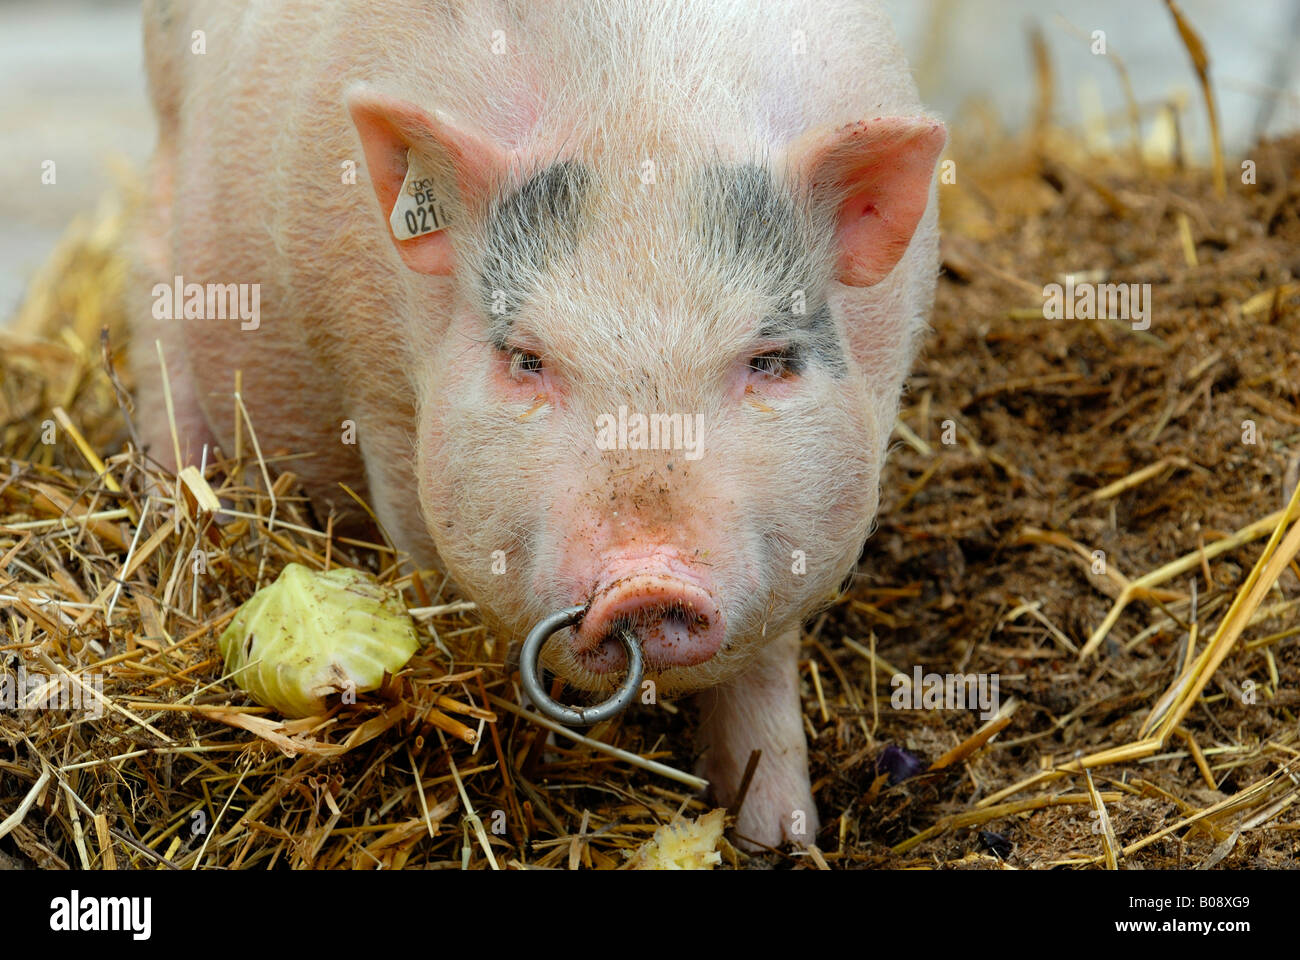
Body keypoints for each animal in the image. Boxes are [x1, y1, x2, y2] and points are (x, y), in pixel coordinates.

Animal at [131, 0, 945, 849]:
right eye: (527, 358)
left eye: (770, 359)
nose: (644, 580)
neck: (646, 109)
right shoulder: (382, 411)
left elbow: (763, 672)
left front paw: (782, 838)